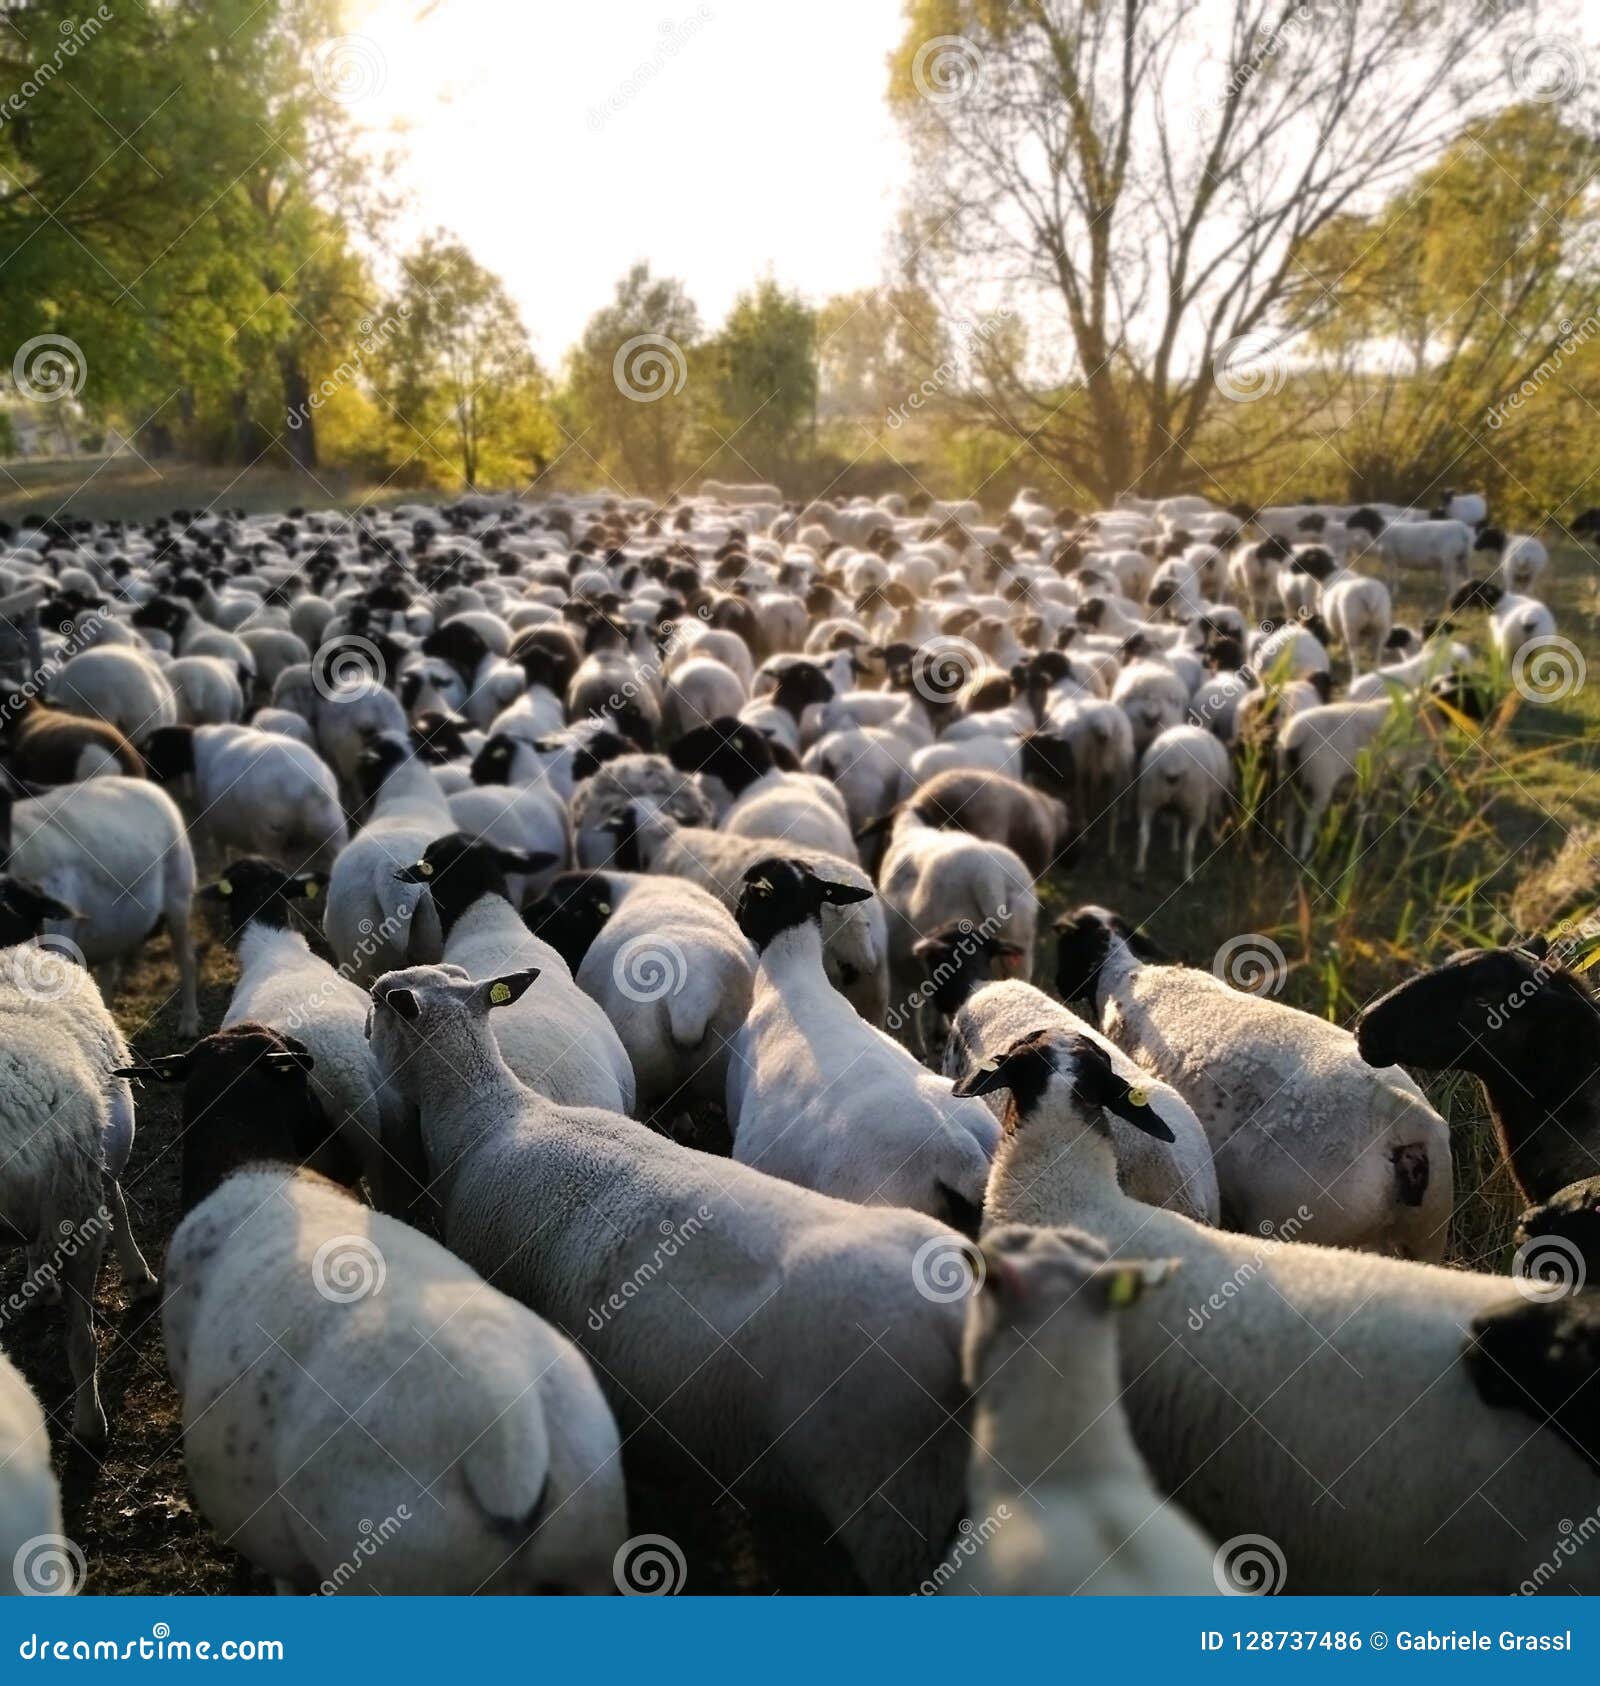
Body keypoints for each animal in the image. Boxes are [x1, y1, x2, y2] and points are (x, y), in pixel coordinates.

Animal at [1, 775, 199, 1034]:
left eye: (4, 797)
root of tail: (140, 783)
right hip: (112, 927)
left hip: (178, 895)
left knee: (186, 959)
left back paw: (189, 1021)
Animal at [143, 722, 346, 874]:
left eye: (157, 749)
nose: (147, 777)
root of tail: (309, 784)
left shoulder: (217, 828)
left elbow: (222, 855)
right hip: (332, 827)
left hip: (269, 833)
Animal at [1133, 725, 1232, 880]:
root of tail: (1172, 760)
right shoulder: (1214, 797)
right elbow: (1210, 819)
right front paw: (1214, 837)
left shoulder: (1174, 806)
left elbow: (1175, 823)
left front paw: (1174, 845)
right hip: (1196, 802)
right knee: (1189, 844)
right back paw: (1188, 875)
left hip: (1148, 797)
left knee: (1143, 834)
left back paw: (1140, 866)